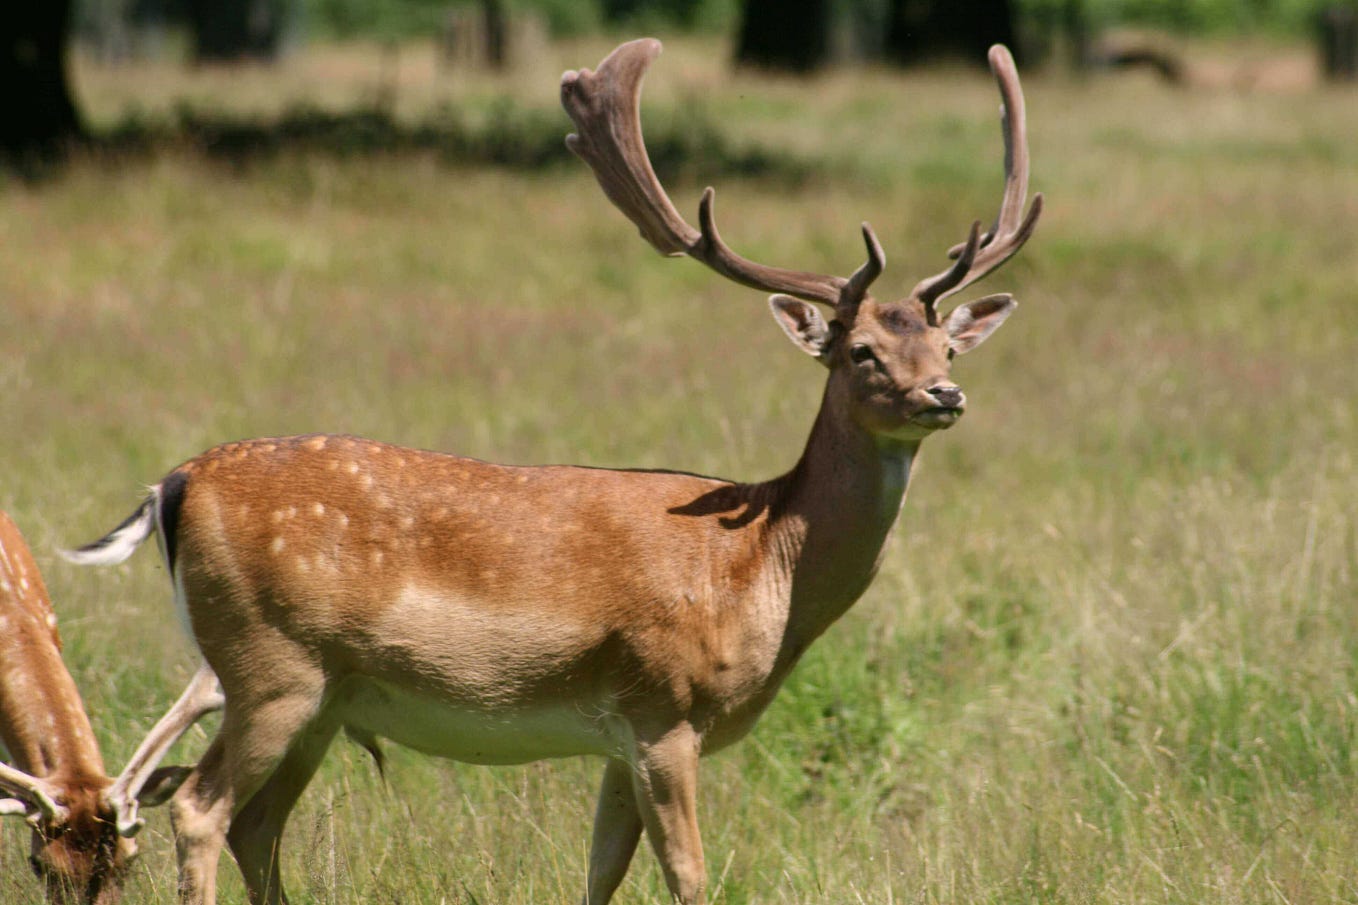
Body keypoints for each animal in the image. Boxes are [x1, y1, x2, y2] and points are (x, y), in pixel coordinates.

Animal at [61, 37, 1041, 905]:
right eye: (862, 352)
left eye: (948, 344)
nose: (945, 394)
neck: (762, 565)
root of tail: (174, 484)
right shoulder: (663, 706)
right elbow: (688, 876)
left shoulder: (615, 741)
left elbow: (600, 872)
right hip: (271, 665)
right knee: (198, 809)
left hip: (323, 697)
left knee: (258, 826)